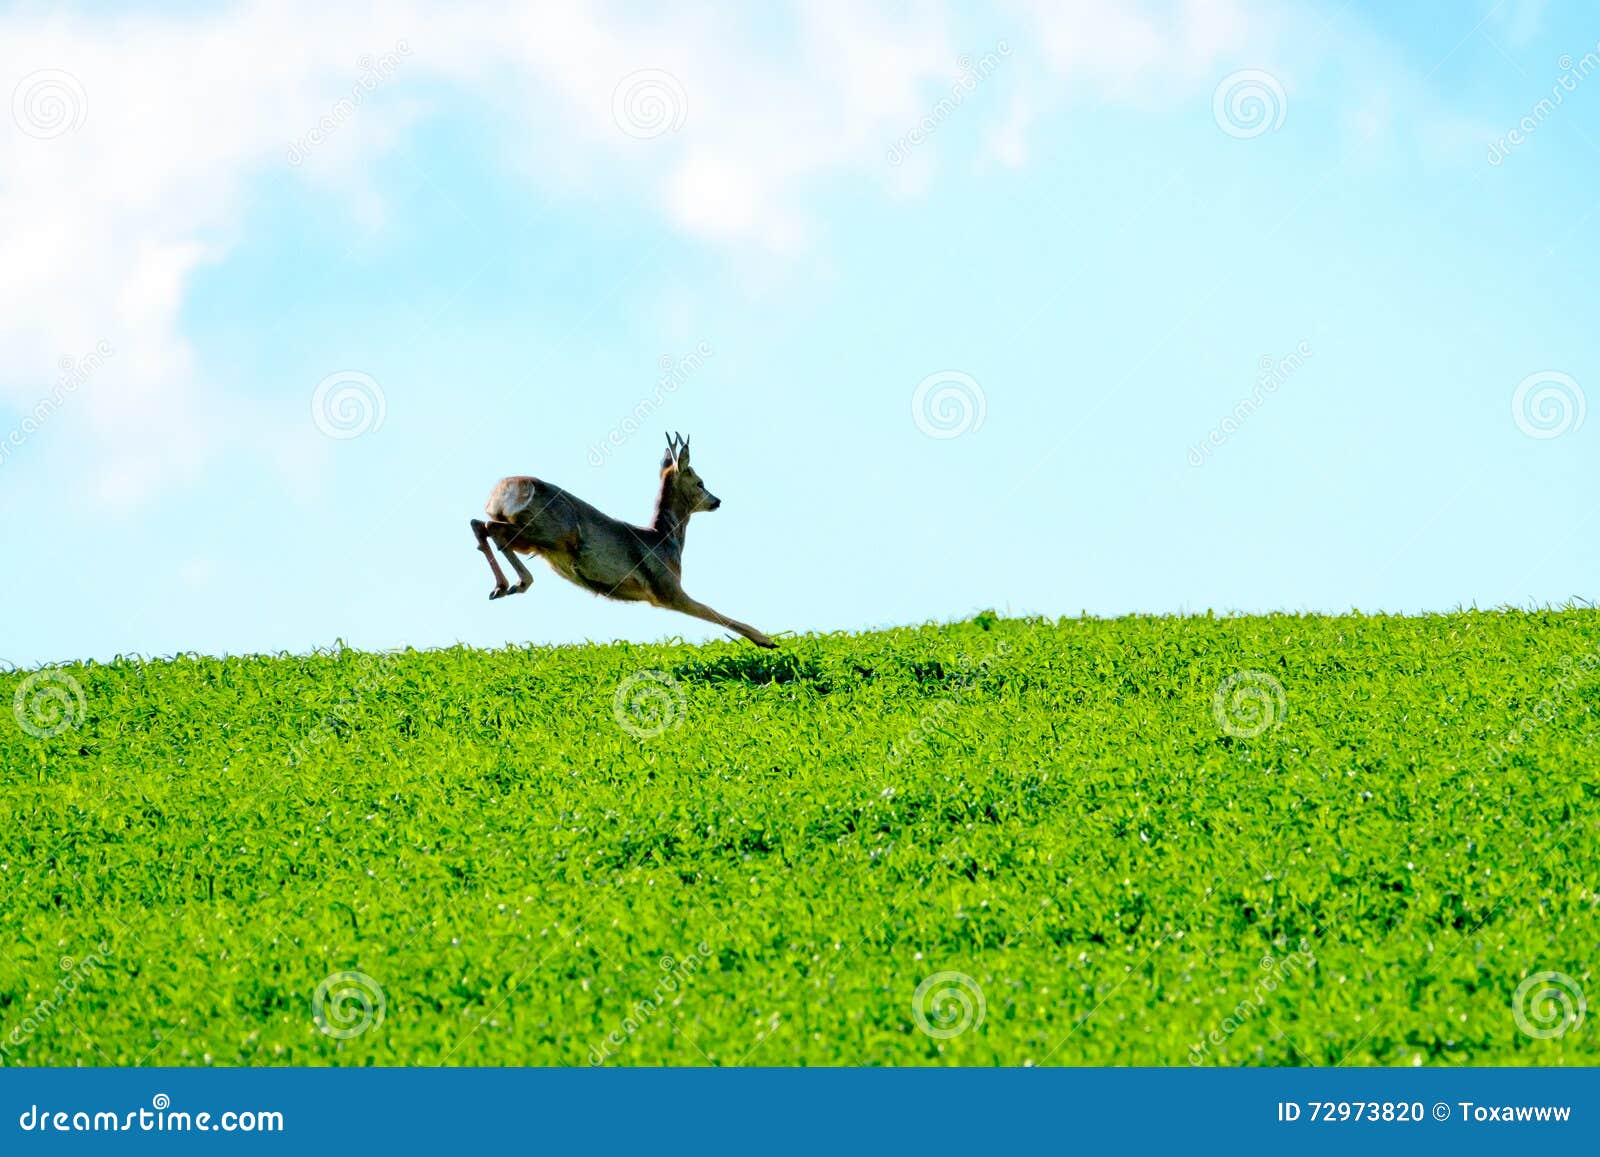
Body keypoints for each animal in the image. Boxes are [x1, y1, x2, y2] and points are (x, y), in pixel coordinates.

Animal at [470, 433, 777, 648]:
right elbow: (713, 612)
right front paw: (766, 640)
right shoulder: (667, 589)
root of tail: (505, 489)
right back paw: (518, 583)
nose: (717, 501)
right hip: (549, 533)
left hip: (535, 539)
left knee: (479, 524)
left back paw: (501, 587)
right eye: (701, 483)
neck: (665, 540)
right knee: (493, 528)